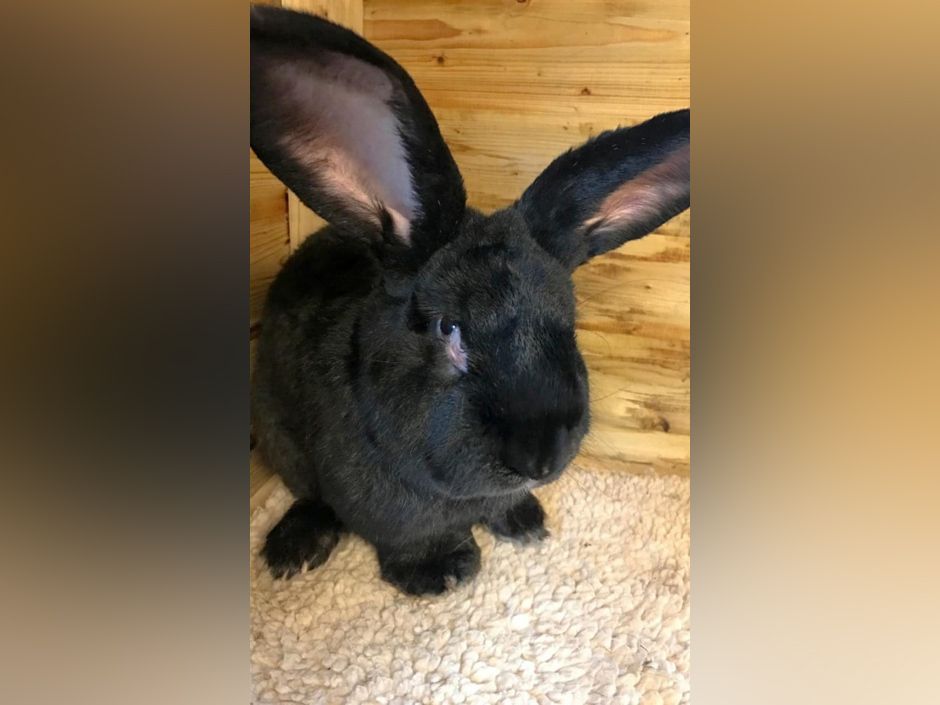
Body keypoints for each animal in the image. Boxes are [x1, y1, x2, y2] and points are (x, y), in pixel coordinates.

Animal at [250, 5, 690, 596]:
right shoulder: (383, 513)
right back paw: (294, 549)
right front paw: (442, 574)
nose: (540, 458)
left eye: (569, 322)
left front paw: (524, 523)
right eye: (447, 329)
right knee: (307, 494)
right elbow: (406, 538)